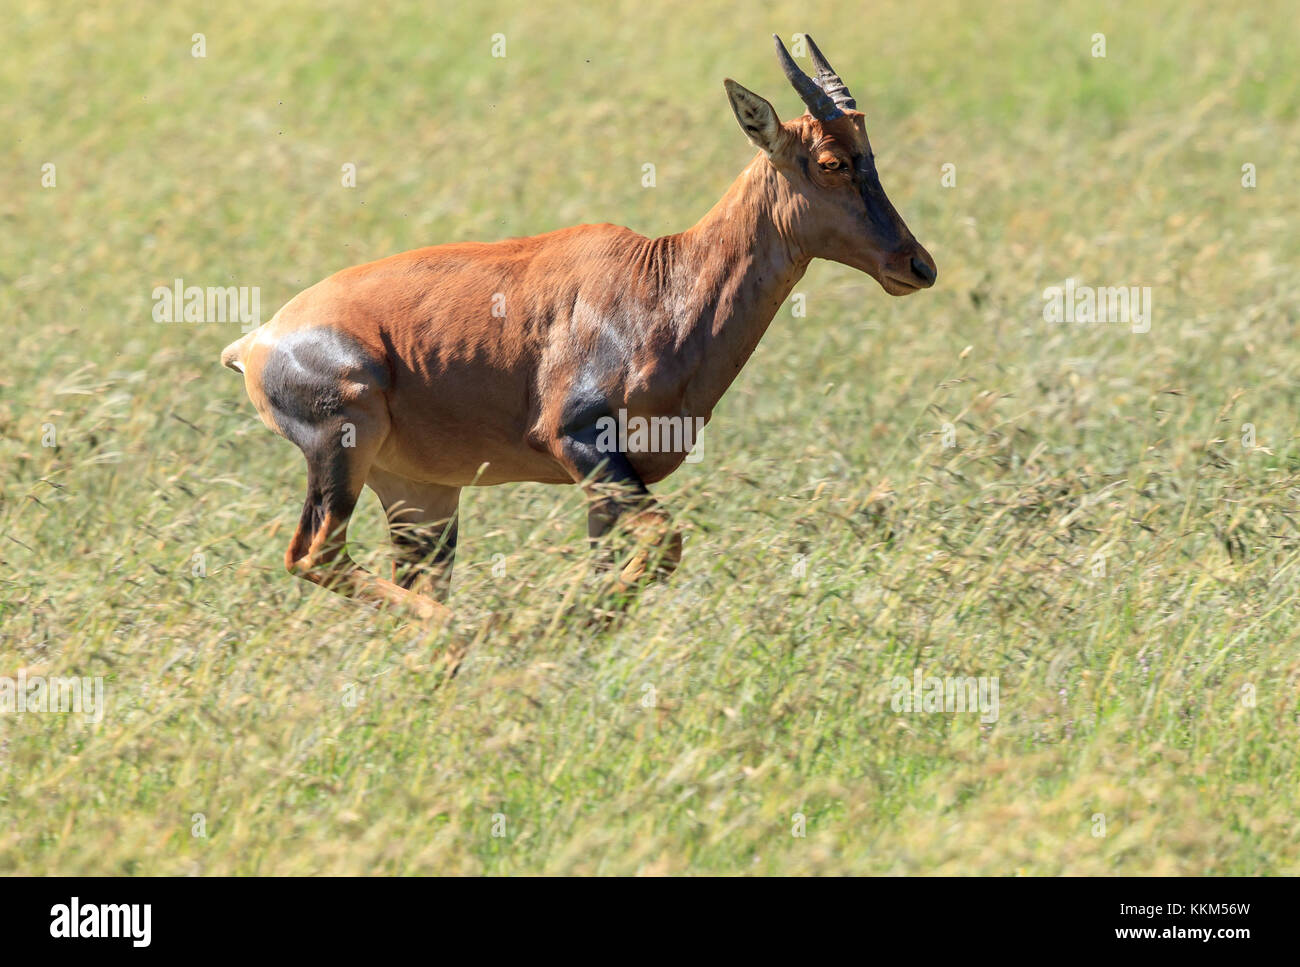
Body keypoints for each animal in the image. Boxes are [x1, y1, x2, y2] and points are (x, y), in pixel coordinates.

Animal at [220, 35, 937, 622]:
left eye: (869, 153)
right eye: (831, 161)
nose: (917, 265)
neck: (660, 279)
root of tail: (258, 340)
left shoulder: (609, 481)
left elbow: (618, 574)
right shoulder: (579, 441)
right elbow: (665, 546)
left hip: (420, 494)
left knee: (406, 577)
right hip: (342, 448)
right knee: (314, 555)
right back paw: (475, 634)